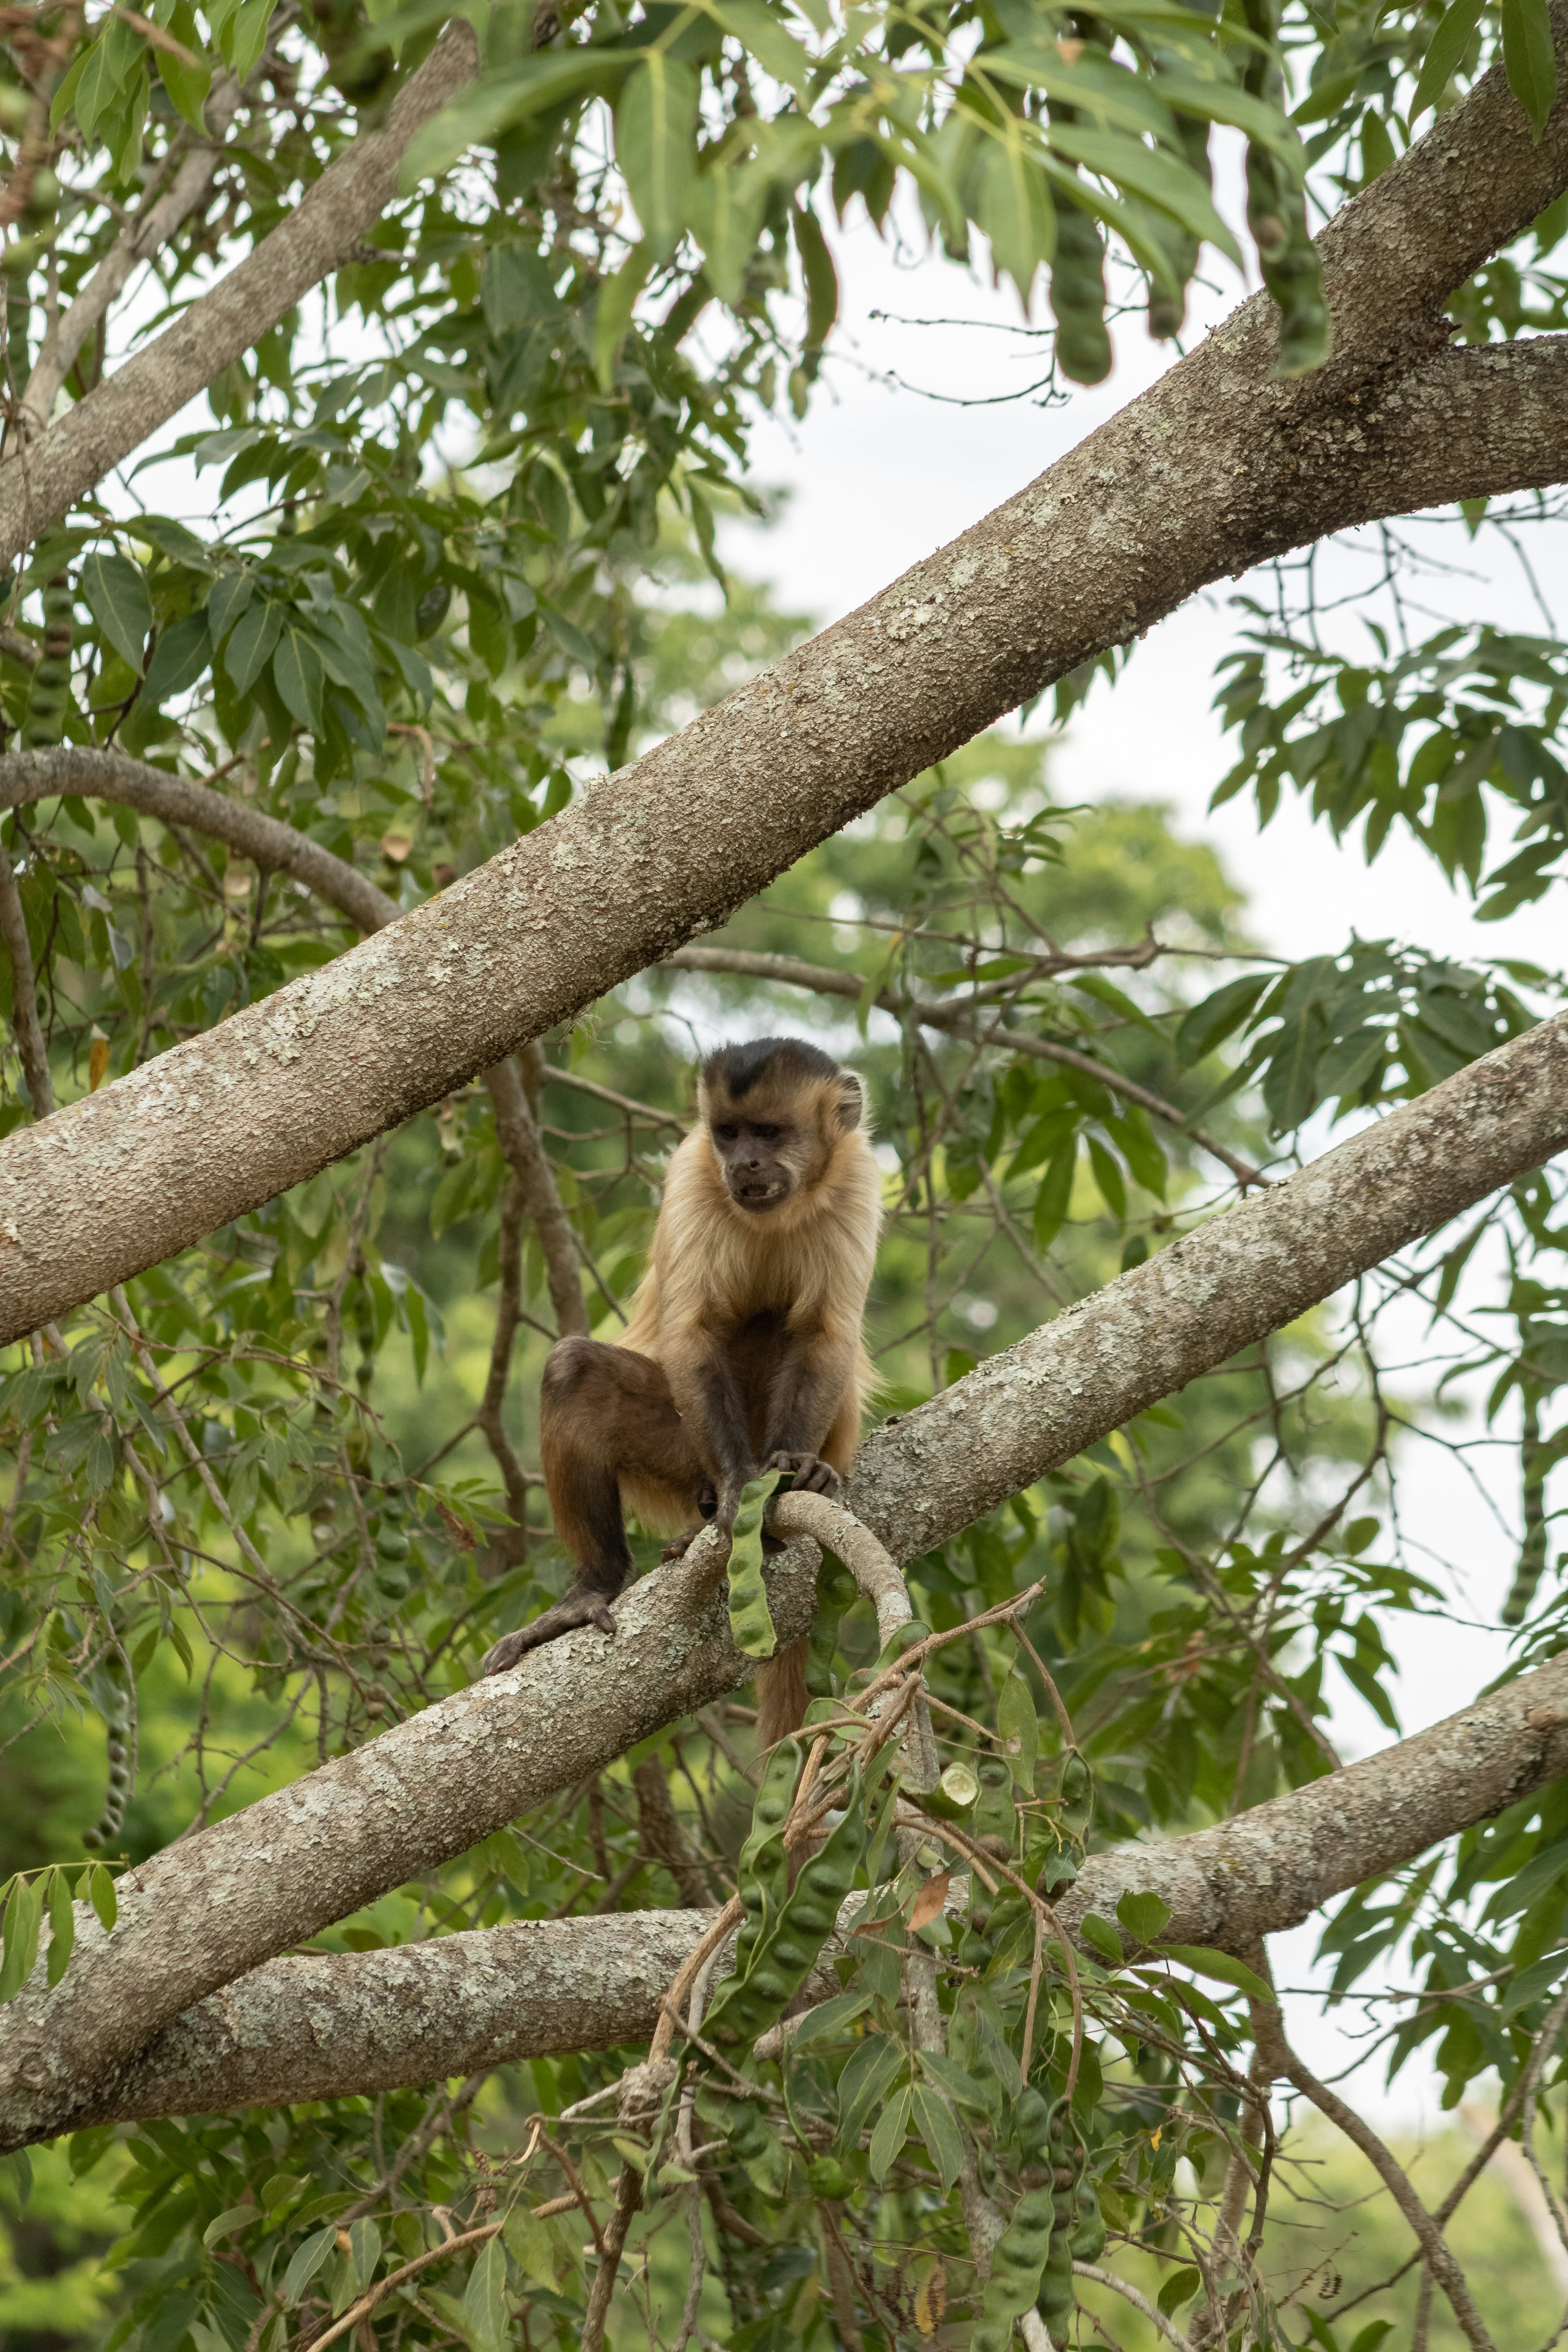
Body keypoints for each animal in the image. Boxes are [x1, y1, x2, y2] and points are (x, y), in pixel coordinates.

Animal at [480, 1036, 882, 1746]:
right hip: (679, 1451)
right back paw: (599, 1584)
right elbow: (692, 1332)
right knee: (574, 1370)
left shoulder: (859, 1177)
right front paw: (738, 1484)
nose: (745, 1162)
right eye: (729, 1134)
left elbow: (825, 1335)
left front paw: (796, 1469)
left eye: (768, 1133)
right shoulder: (694, 1171)